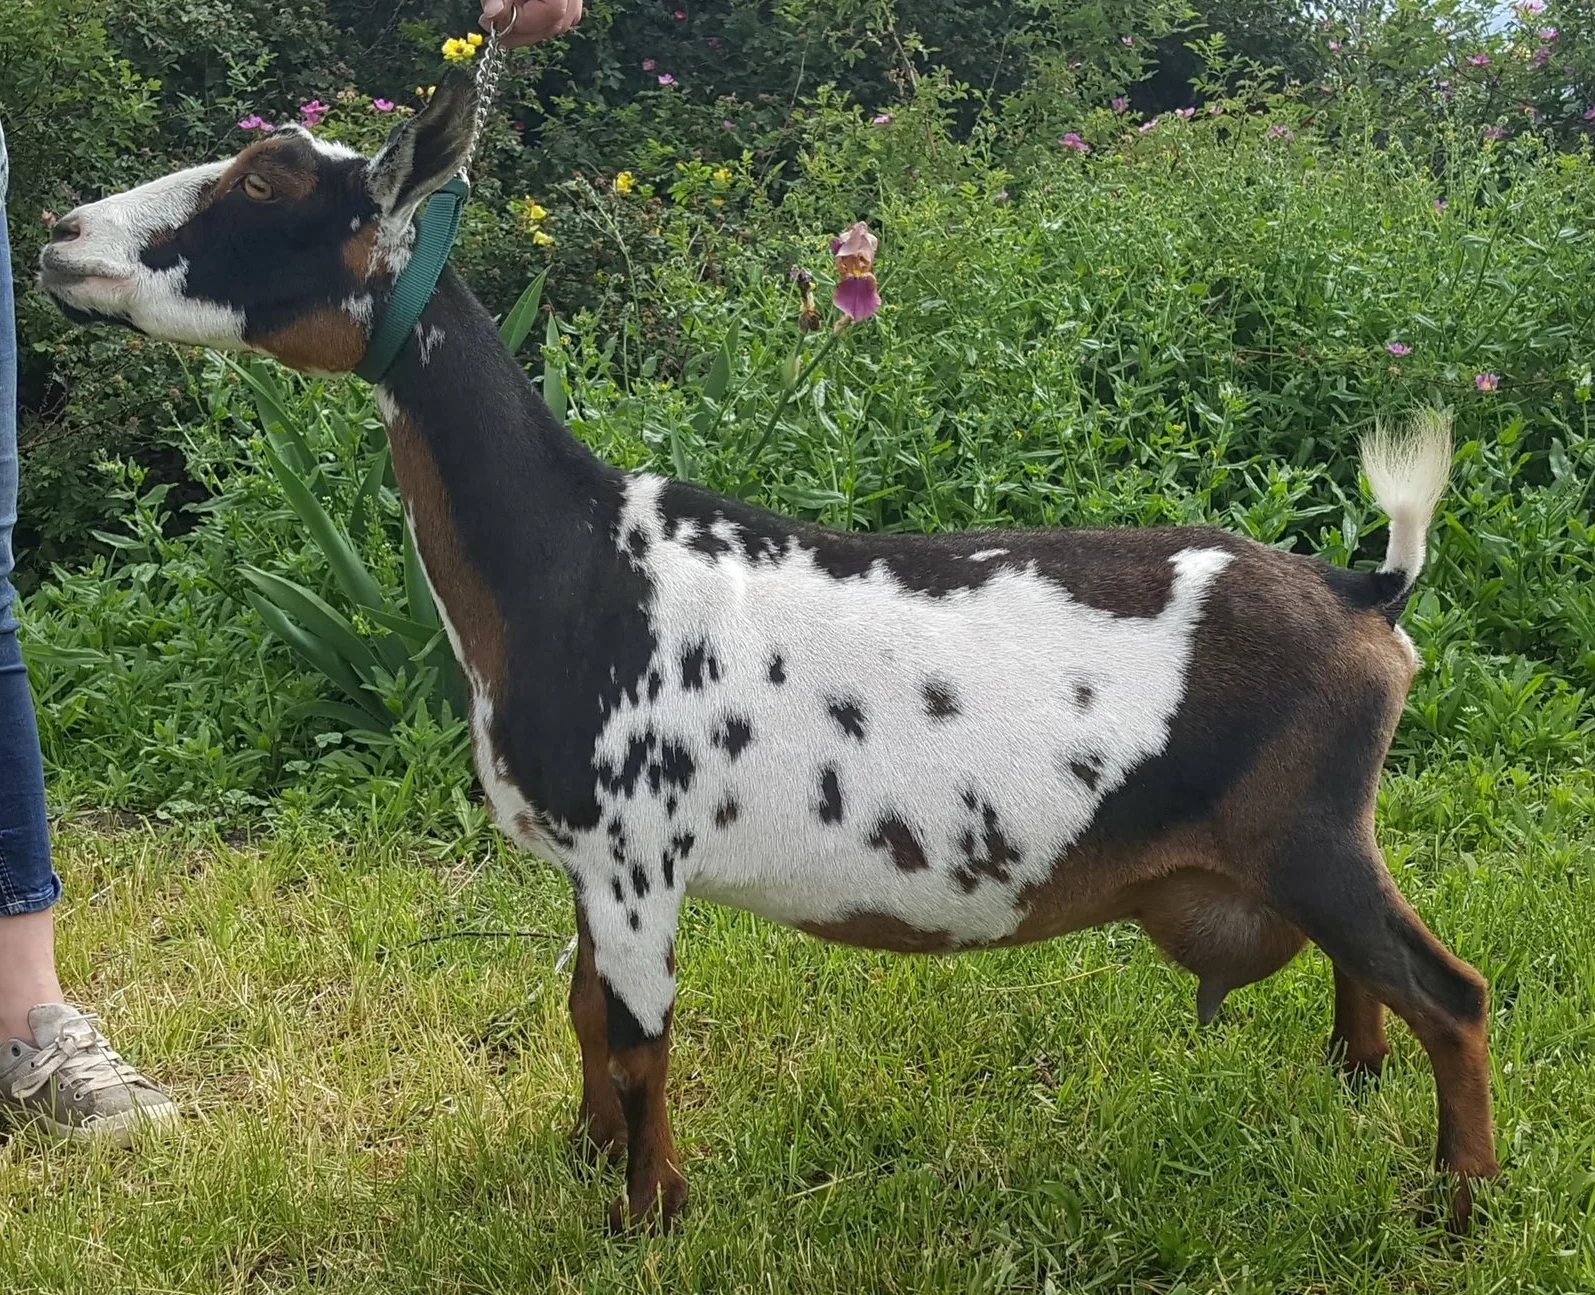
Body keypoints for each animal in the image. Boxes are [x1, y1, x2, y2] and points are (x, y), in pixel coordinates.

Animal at [39, 81, 1498, 1232]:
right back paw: (1352, 1081)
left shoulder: (636, 852)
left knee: (1454, 990)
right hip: (1310, 838)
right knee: (1376, 975)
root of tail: (1361, 588)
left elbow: (639, 1041)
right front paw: (584, 1165)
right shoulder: (591, 865)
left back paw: (1458, 1201)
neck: (577, 559)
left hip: (1306, 827)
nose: (58, 236)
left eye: (266, 179)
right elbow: (584, 1015)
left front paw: (647, 1216)